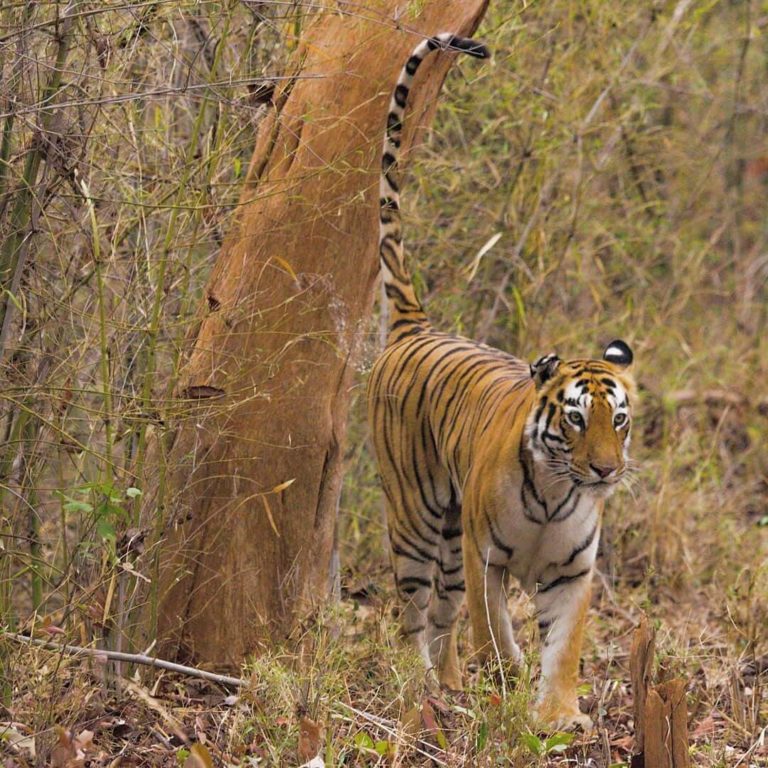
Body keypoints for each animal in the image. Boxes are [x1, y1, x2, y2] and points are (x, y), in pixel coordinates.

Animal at [366, 33, 636, 730]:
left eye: (619, 420)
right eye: (577, 418)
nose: (606, 470)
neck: (558, 492)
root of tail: (415, 326)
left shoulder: (572, 574)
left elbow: (563, 646)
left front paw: (559, 715)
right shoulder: (486, 555)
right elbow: (490, 624)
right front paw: (508, 679)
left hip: (449, 531)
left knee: (441, 612)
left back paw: (451, 683)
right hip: (417, 516)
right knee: (417, 610)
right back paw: (421, 682)